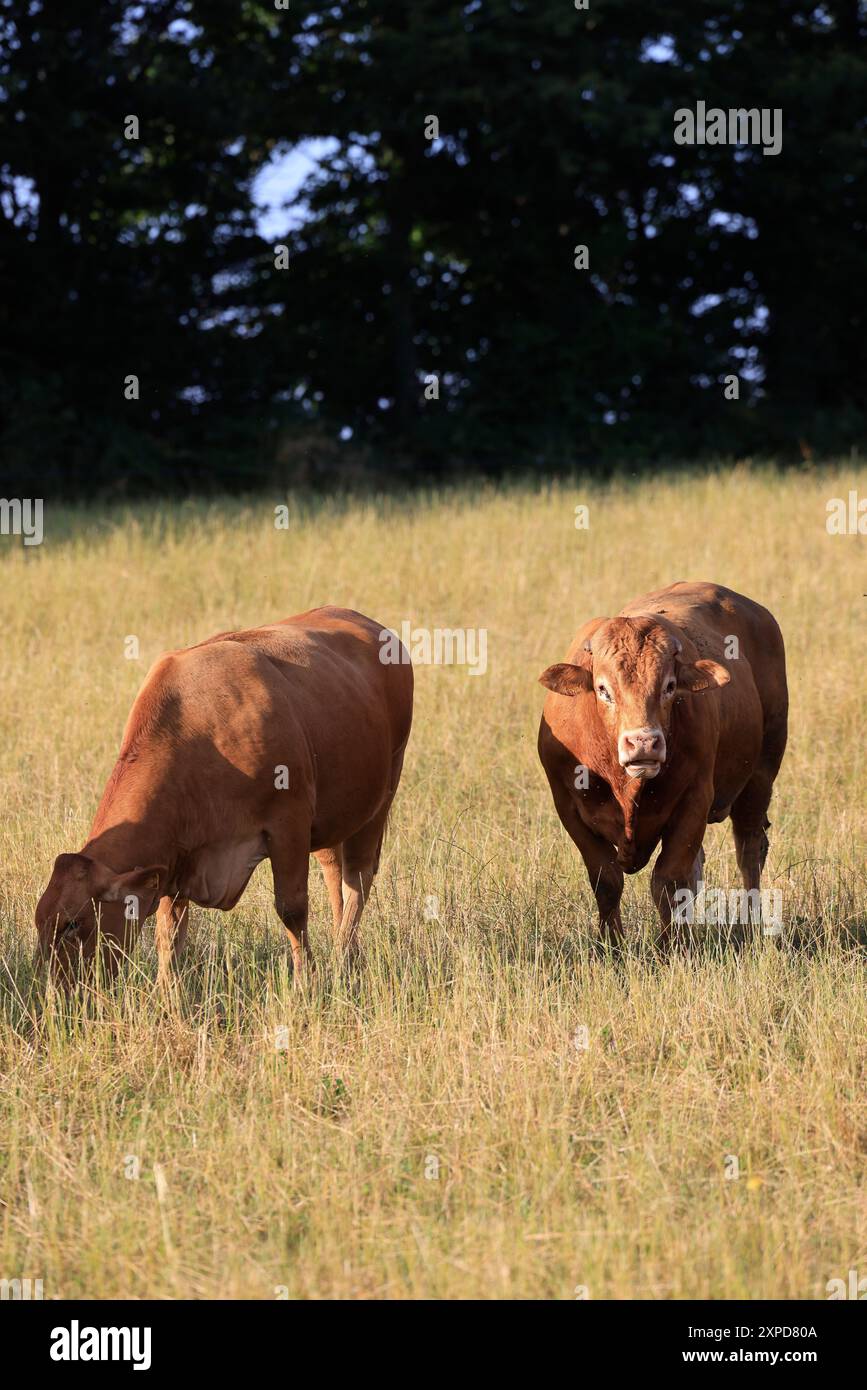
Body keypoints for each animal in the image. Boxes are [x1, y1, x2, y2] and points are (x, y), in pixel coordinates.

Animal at [35, 606, 413, 986]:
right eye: (40, 922)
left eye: (73, 924)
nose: (57, 991)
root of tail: (361, 620)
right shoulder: (178, 856)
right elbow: (169, 931)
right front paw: (166, 991)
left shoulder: (288, 822)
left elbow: (292, 908)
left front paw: (305, 981)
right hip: (332, 817)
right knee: (335, 872)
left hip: (381, 796)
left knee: (357, 878)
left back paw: (343, 956)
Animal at [537, 582, 788, 945]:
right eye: (603, 689)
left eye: (669, 686)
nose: (644, 742)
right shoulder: (569, 807)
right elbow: (607, 881)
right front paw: (612, 946)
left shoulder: (694, 801)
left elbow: (669, 882)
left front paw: (672, 946)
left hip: (760, 777)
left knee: (750, 849)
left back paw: (752, 924)